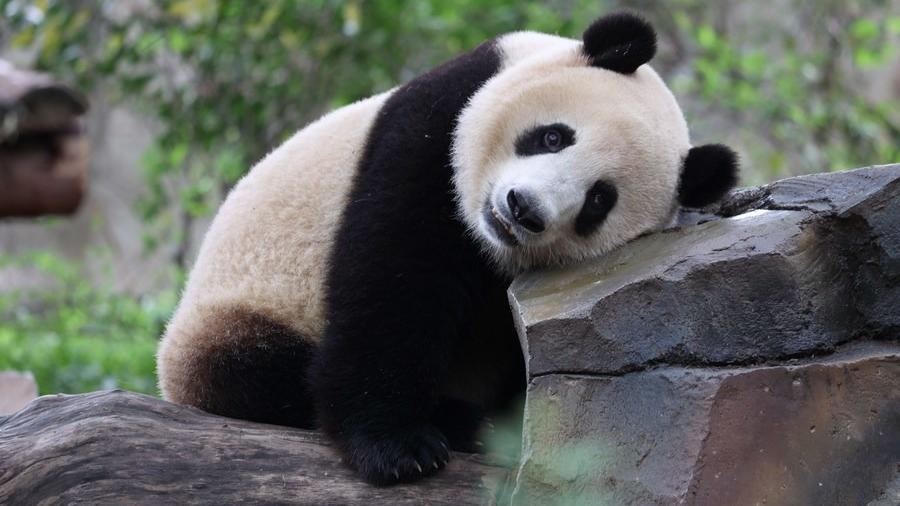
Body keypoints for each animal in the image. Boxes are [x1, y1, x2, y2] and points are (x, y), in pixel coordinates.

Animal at [157, 12, 738, 485]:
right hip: (234, 315)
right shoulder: (433, 130)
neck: (483, 239)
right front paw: (398, 448)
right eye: (553, 137)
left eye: (599, 200)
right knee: (258, 373)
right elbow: (394, 284)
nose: (523, 209)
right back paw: (461, 421)